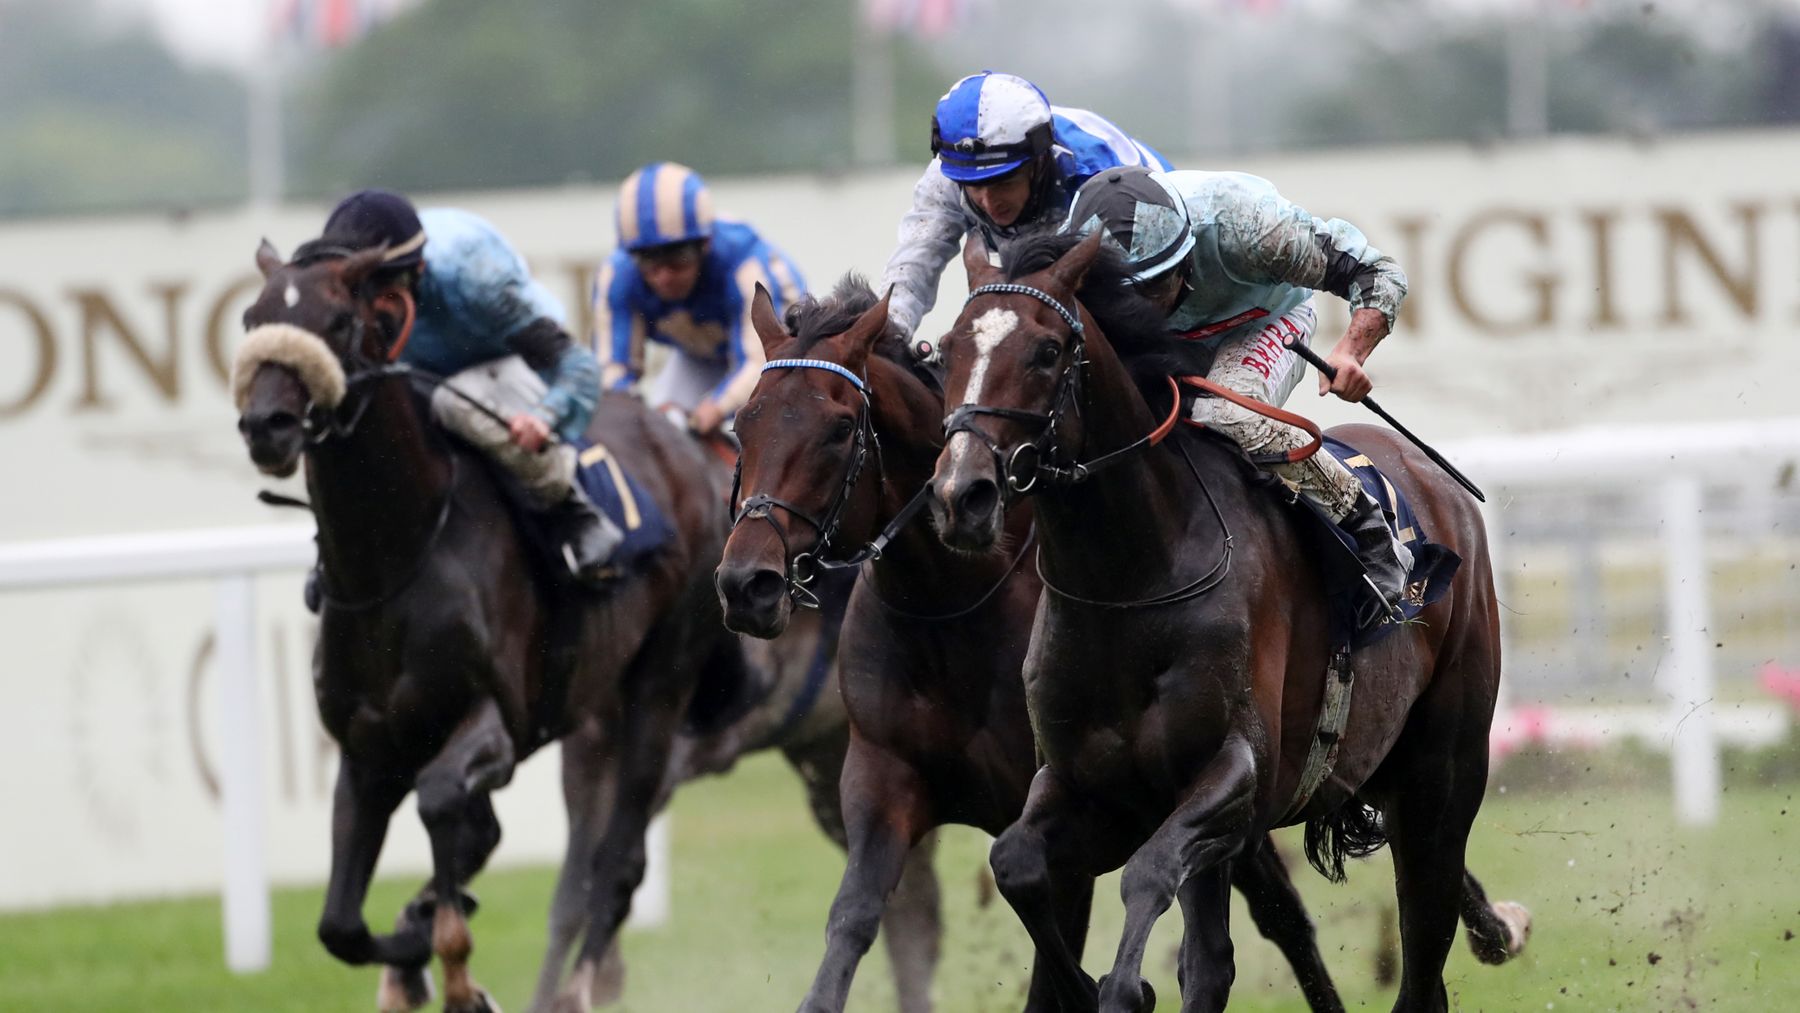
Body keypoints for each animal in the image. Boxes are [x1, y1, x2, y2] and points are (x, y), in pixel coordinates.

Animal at [234, 239, 743, 1013]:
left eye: (339, 321)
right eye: (251, 319)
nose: (267, 425)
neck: (395, 563)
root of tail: (683, 440)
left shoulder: (495, 719)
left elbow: (444, 798)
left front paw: (455, 968)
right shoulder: (365, 751)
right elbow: (340, 925)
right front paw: (415, 942)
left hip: (659, 689)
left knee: (617, 857)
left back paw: (580, 984)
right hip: (593, 710)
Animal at [716, 275, 1385, 1012]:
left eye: (839, 428)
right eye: (743, 424)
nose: (746, 582)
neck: (951, 604)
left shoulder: (1073, 812)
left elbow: (1051, 965)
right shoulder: (882, 780)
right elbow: (853, 920)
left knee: (1280, 911)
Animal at [926, 231, 1528, 1012]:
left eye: (1047, 351)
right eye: (945, 350)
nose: (959, 496)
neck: (1129, 580)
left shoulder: (1235, 772)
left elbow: (1150, 875)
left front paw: (1125, 988)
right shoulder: (1089, 785)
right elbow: (1016, 861)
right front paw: (1084, 985)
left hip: (1441, 776)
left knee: (1425, 942)